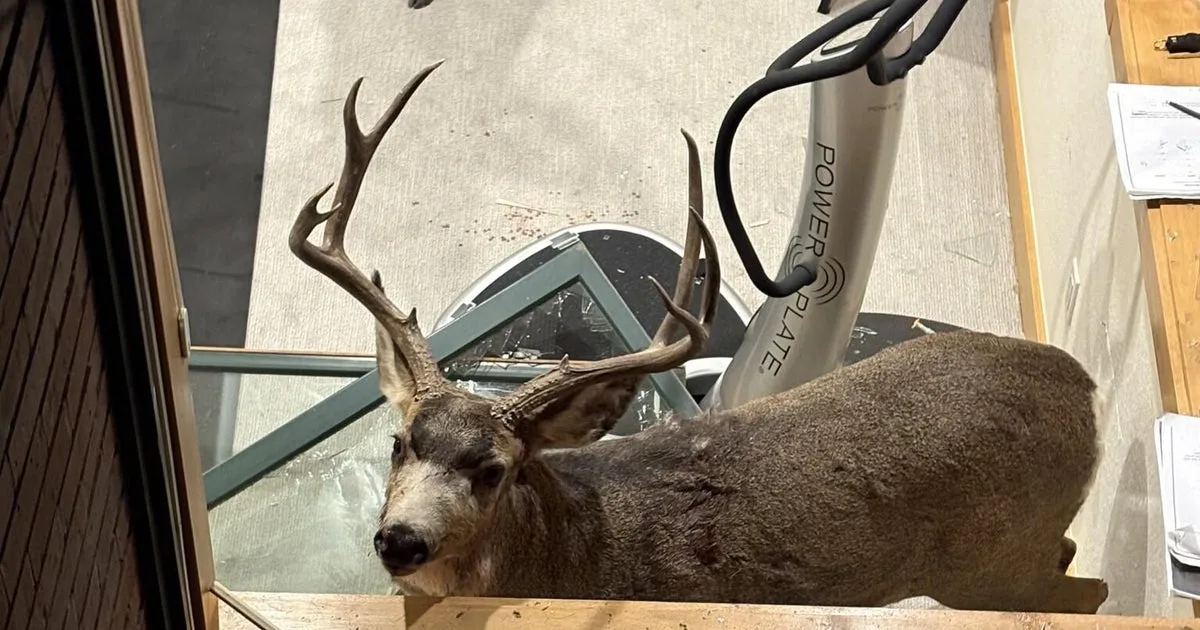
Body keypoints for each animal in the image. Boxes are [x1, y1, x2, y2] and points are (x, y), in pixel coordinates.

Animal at [287, 60, 1110, 614]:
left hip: (994, 567)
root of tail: (1084, 389)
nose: (402, 539)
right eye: (400, 442)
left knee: (1085, 587)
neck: (562, 560)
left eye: (494, 468)